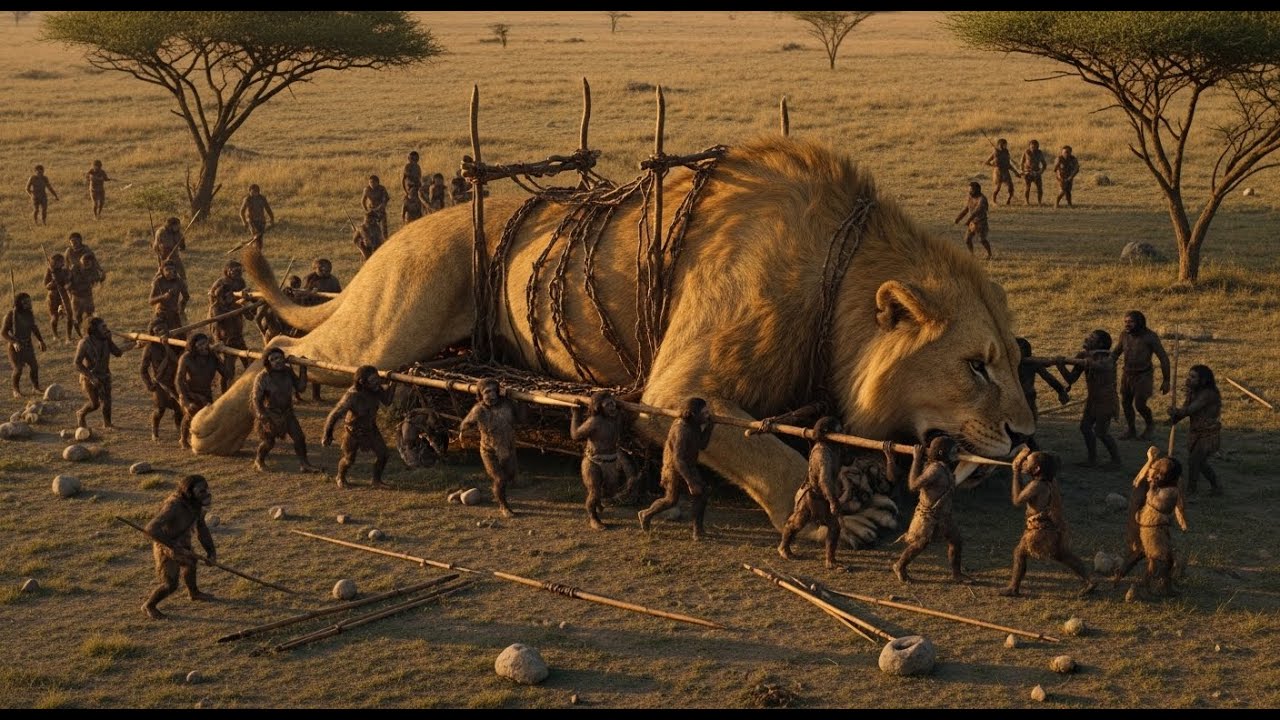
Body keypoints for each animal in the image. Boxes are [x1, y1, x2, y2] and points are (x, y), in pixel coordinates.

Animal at [190, 134, 1034, 536]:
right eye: (977, 366)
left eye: (1011, 361)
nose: (1026, 435)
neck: (840, 270)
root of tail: (399, 237)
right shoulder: (673, 391)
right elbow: (767, 449)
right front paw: (840, 513)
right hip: (391, 322)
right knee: (283, 352)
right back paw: (206, 428)